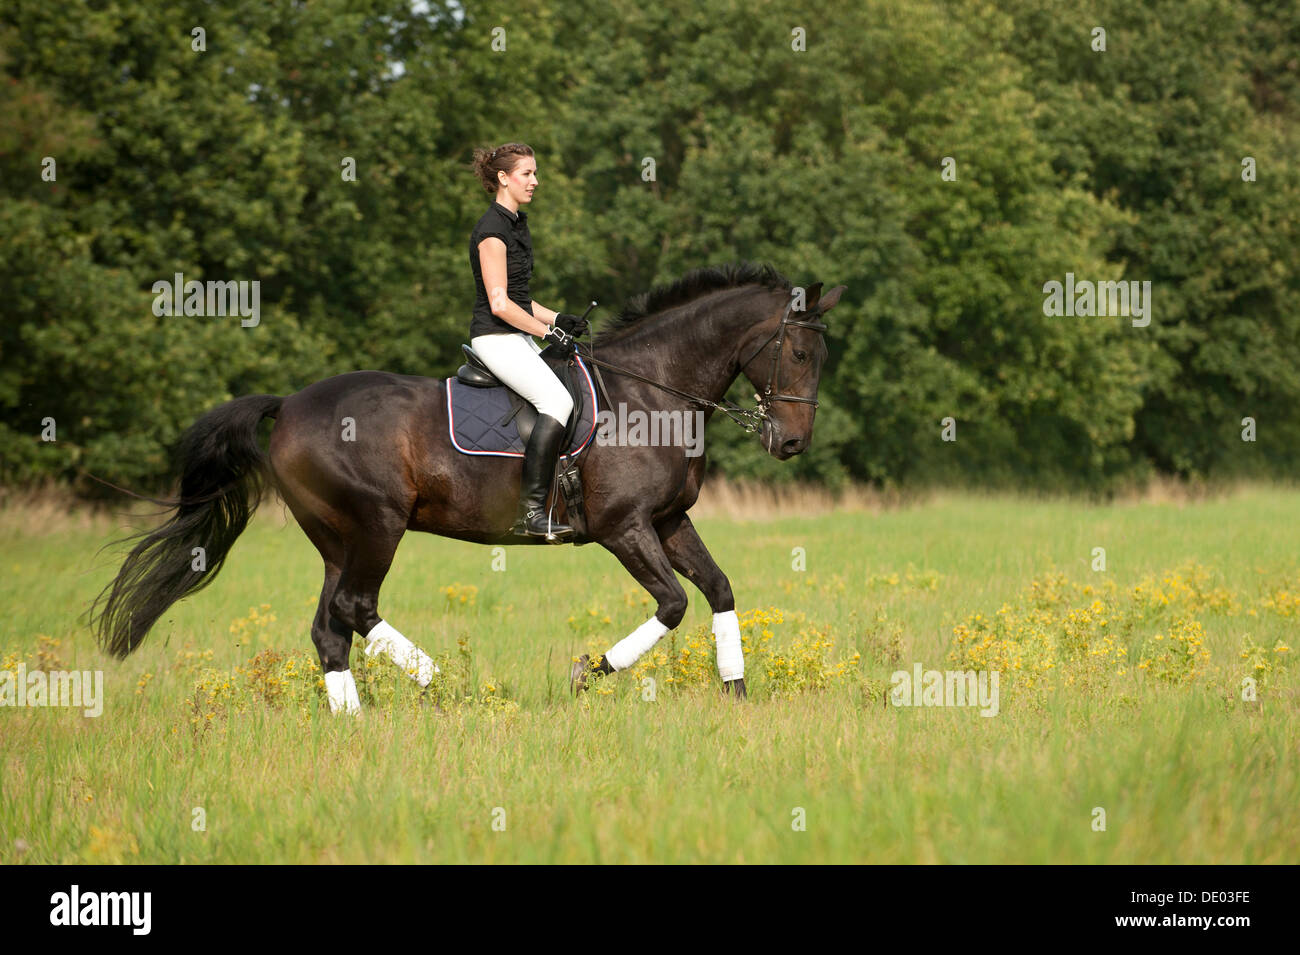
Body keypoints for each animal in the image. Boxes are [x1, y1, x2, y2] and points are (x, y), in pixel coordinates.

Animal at [90, 262, 846, 711]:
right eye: (798, 351)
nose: (791, 443)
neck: (652, 391)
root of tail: (291, 404)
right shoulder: (624, 527)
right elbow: (673, 604)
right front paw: (588, 671)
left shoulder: (667, 520)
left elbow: (717, 589)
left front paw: (736, 689)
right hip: (377, 524)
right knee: (357, 608)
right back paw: (443, 684)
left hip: (337, 537)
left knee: (330, 626)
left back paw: (353, 718)